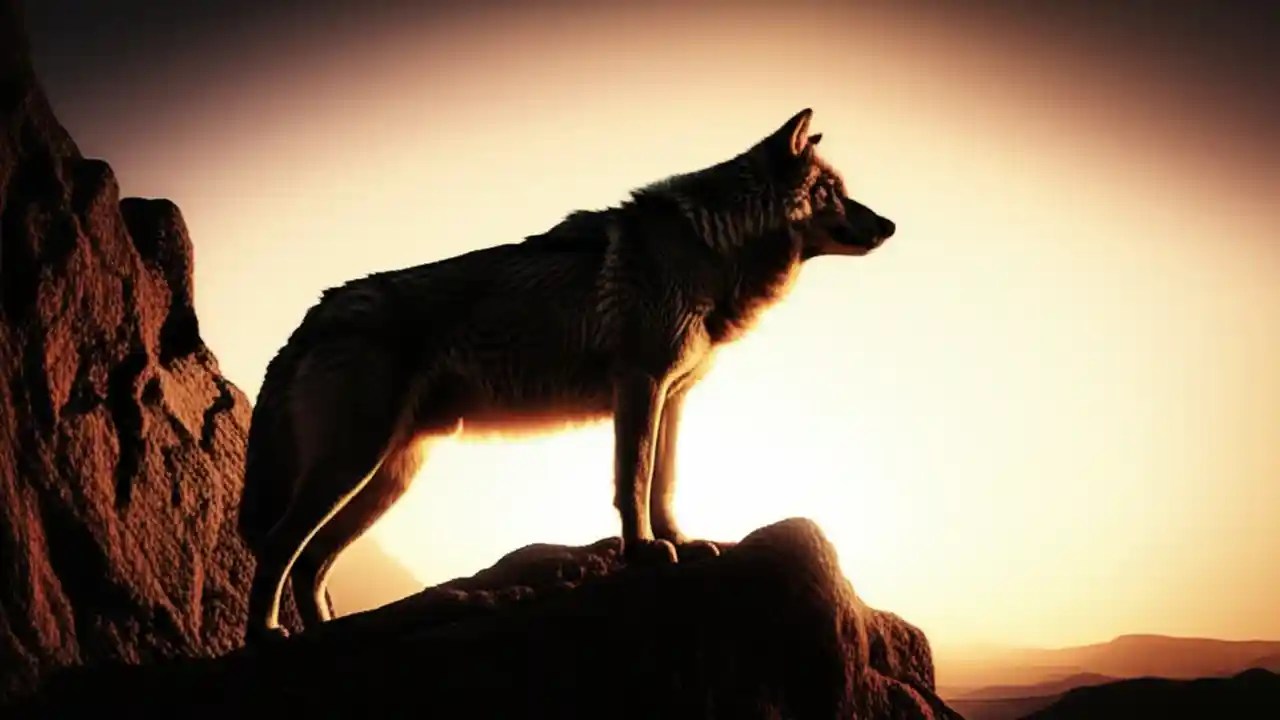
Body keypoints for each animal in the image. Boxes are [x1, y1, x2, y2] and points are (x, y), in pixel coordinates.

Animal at [238, 109, 896, 641]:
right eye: (835, 191)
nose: (889, 225)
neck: (709, 248)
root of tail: (320, 308)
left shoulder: (674, 397)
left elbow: (665, 482)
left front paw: (680, 543)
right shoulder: (640, 383)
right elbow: (632, 480)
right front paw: (643, 551)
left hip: (386, 476)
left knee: (311, 561)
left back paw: (326, 635)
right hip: (353, 464)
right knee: (277, 549)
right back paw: (266, 637)